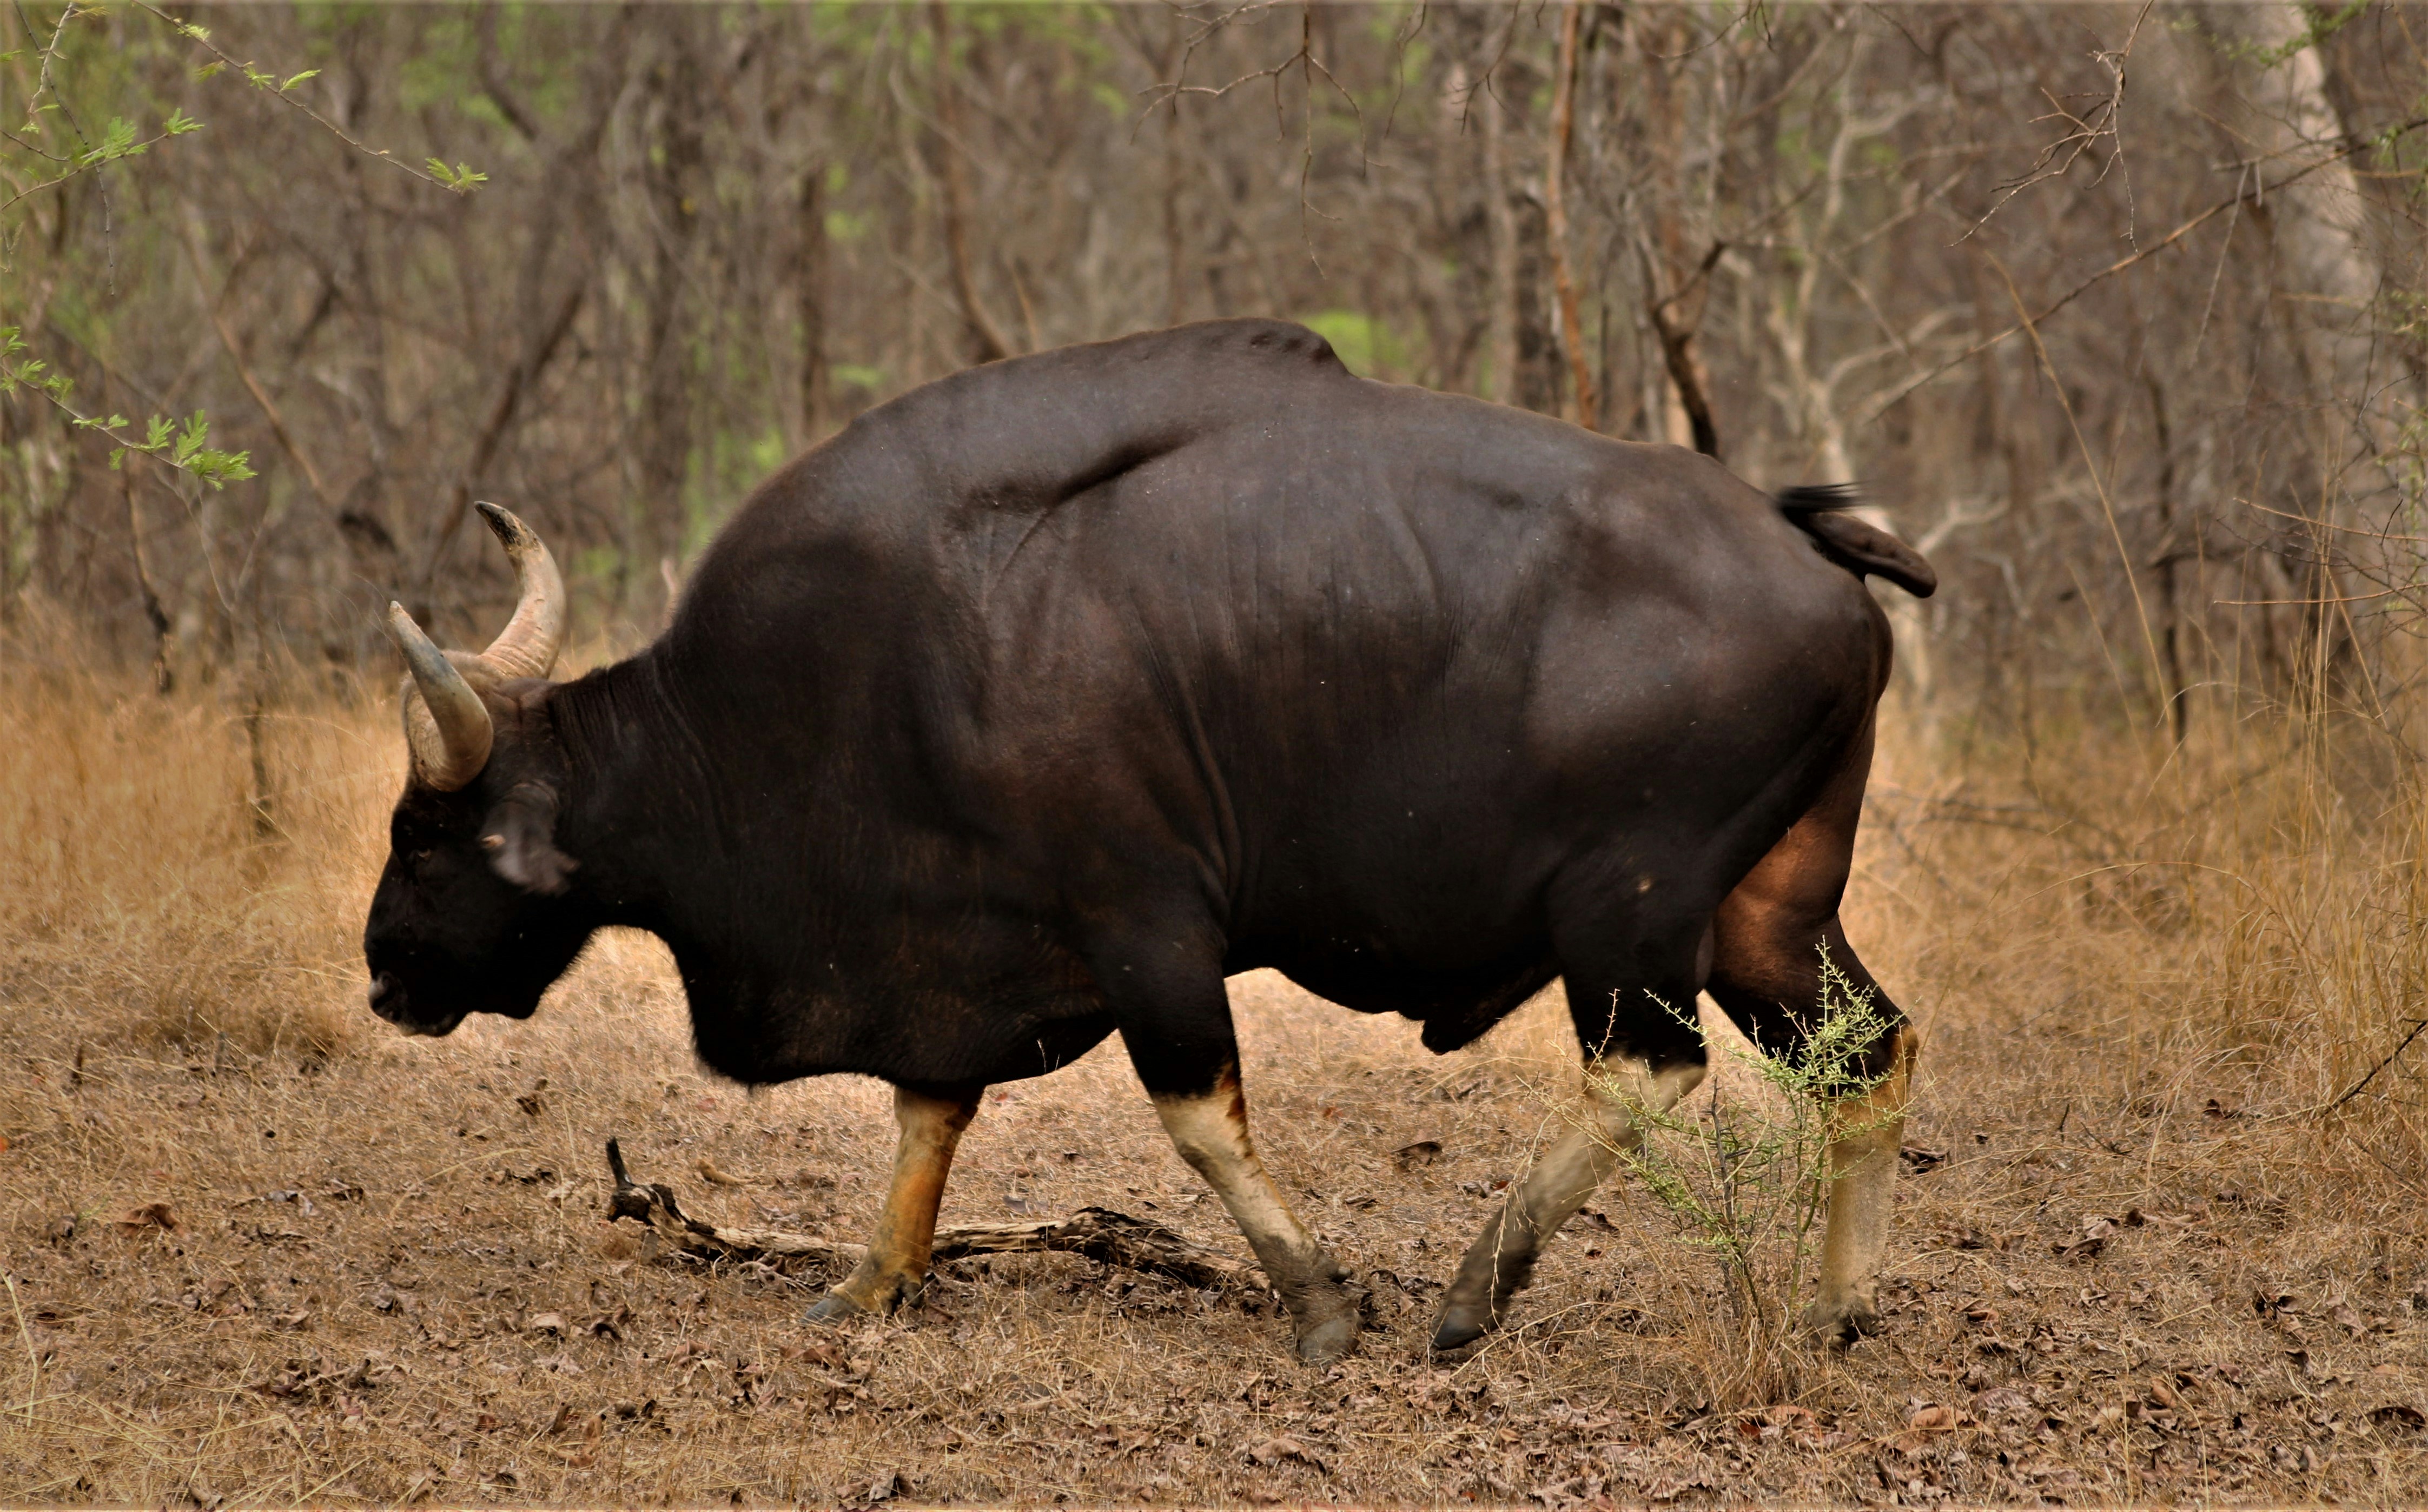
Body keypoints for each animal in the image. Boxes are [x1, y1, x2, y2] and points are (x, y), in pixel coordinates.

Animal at [363, 318, 1934, 1364]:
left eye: (429, 839)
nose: (382, 972)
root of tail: (1801, 544)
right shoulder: (956, 944)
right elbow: (926, 1112)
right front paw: (873, 1278)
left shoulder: (1146, 924)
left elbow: (1194, 1115)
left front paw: (1319, 1303)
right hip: (1766, 915)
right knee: (1872, 1050)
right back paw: (1834, 1302)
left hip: (1628, 910)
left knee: (1645, 1068)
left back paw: (1474, 1288)